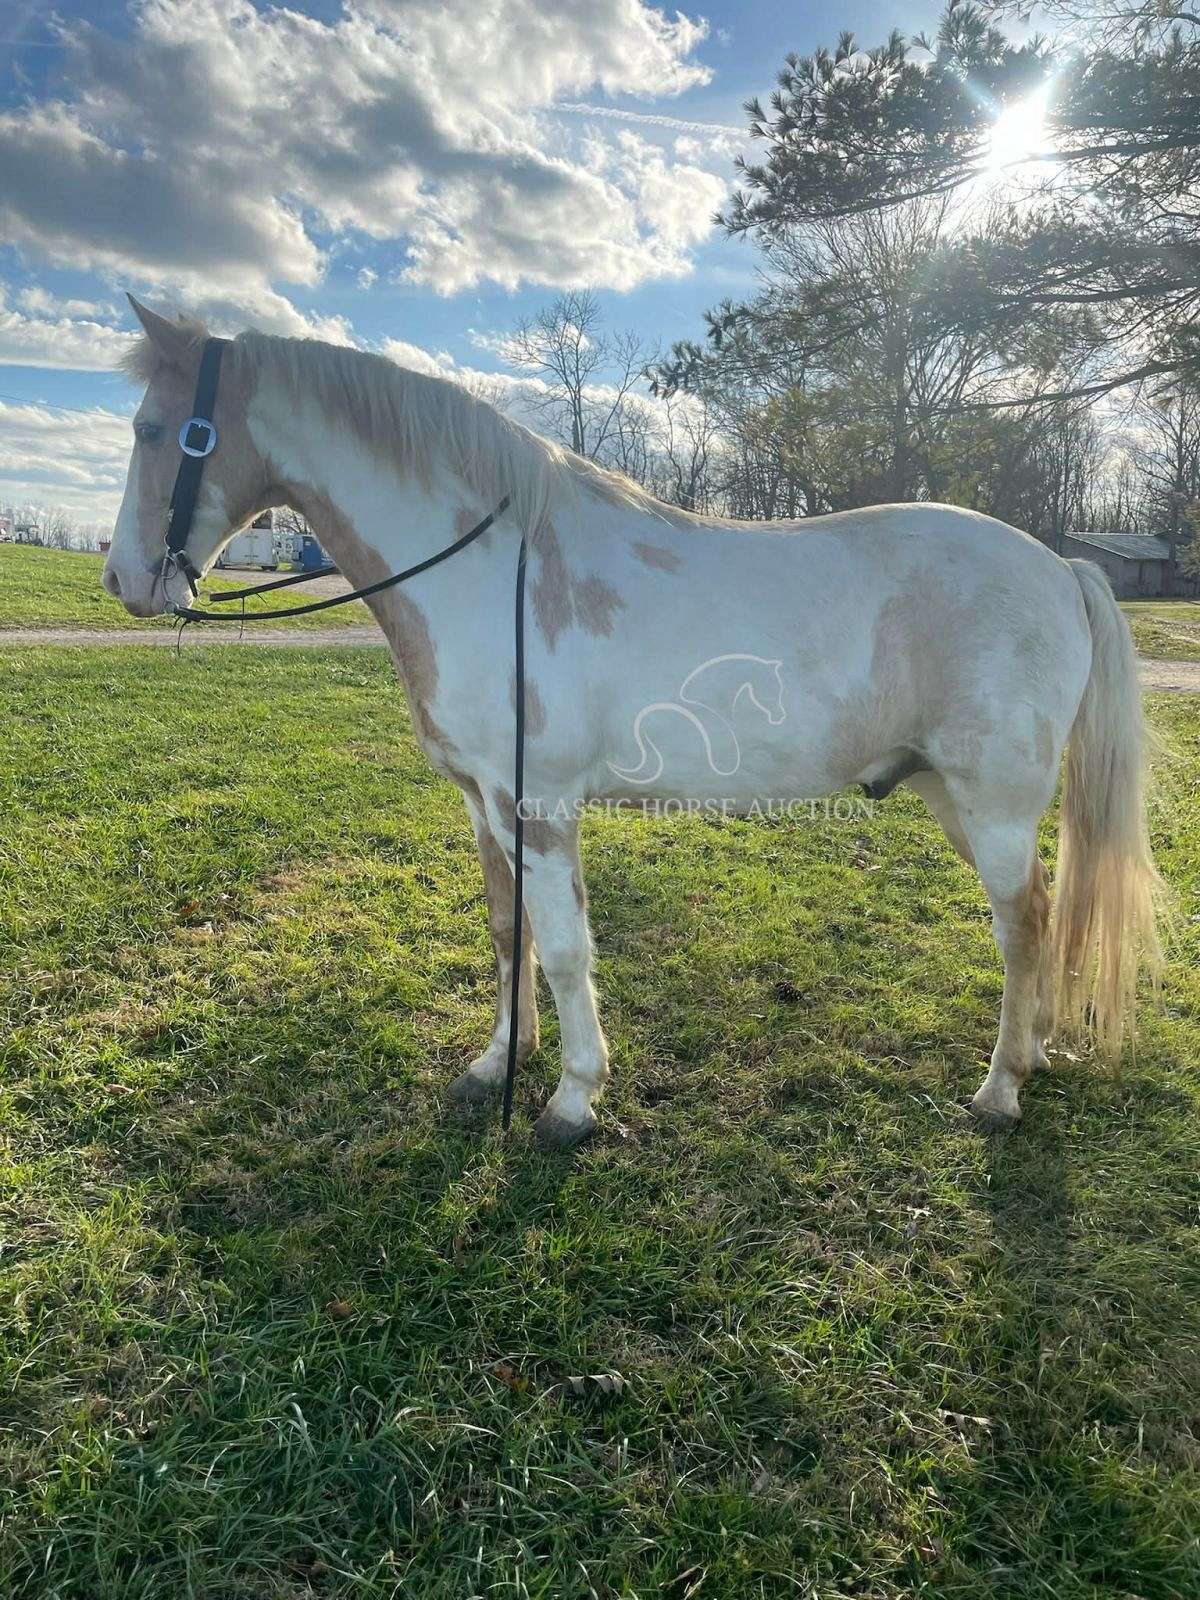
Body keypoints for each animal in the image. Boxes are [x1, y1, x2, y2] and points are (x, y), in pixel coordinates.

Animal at [103, 296, 1163, 1148]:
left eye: (156, 428)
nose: (122, 580)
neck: (492, 567)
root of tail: (1058, 567)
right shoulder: (485, 801)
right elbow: (509, 932)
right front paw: (498, 1064)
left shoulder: (541, 804)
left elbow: (567, 947)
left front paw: (573, 1099)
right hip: (948, 794)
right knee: (1039, 918)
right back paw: (1030, 1060)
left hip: (993, 804)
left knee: (1022, 923)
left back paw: (1000, 1090)